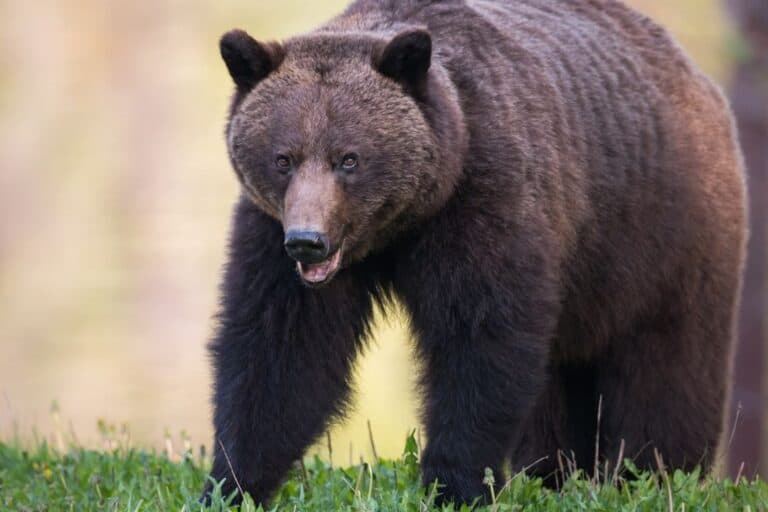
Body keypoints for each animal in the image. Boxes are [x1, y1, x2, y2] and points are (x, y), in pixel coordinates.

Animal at [204, 0, 747, 506]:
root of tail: (693, 74)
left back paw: (650, 474)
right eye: (283, 159)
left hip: (662, 237)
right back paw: (556, 473)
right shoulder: (272, 235)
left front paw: (455, 484)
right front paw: (232, 484)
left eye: (349, 159)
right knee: (558, 383)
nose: (308, 240)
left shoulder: (484, 202)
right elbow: (280, 350)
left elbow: (479, 341)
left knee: (665, 368)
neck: (401, 224)